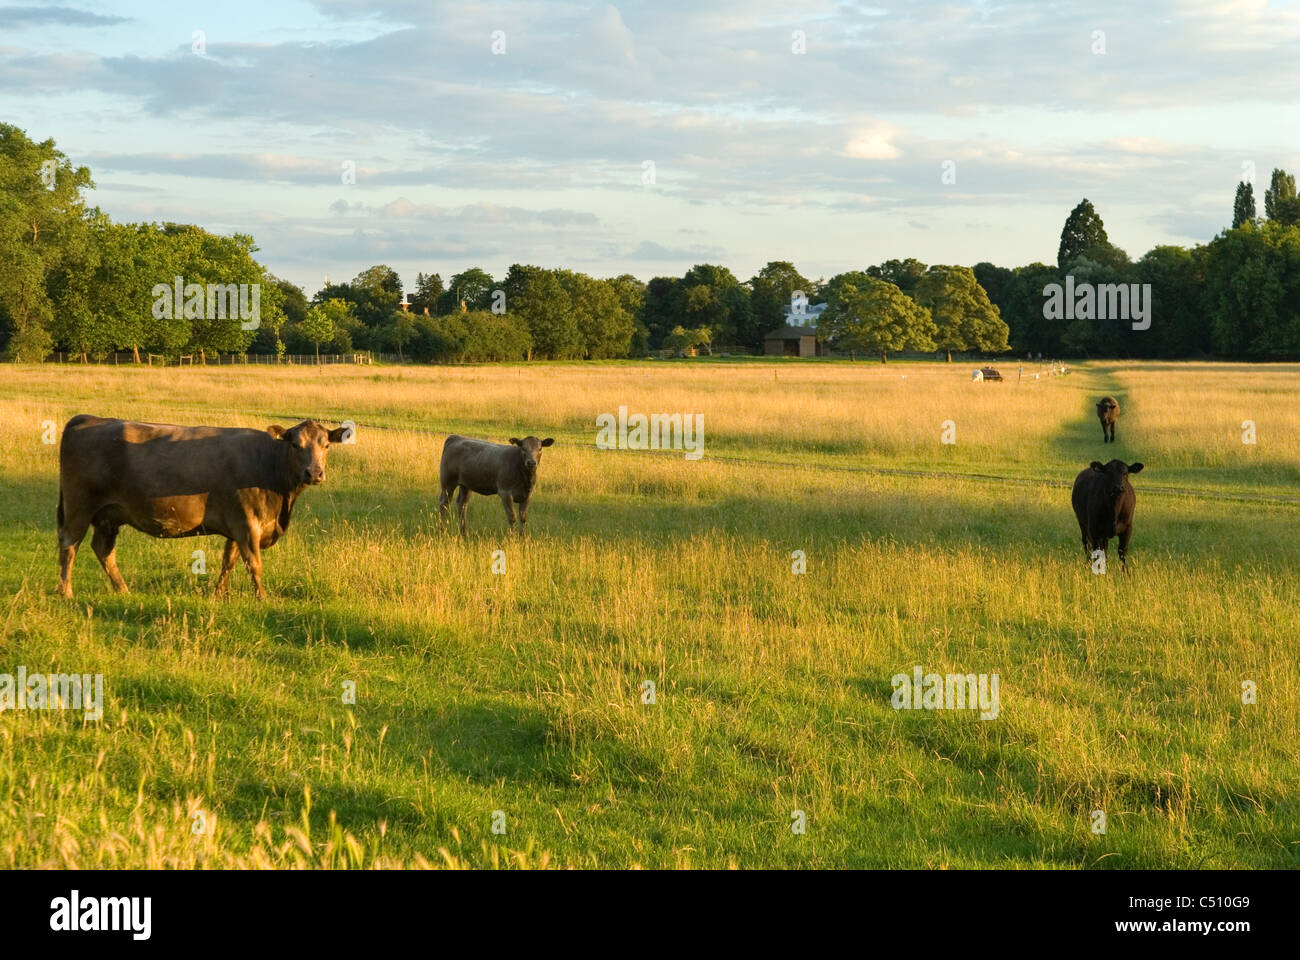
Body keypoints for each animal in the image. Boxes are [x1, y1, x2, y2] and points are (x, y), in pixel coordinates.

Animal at [56, 416, 347, 599]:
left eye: (326, 445)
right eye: (296, 445)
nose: (314, 473)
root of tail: (87, 419)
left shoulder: (236, 525)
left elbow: (228, 561)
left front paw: (218, 594)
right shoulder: (247, 523)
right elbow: (254, 564)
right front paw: (263, 598)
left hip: (108, 516)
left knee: (103, 549)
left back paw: (122, 589)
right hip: (79, 507)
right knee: (70, 546)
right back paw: (66, 592)